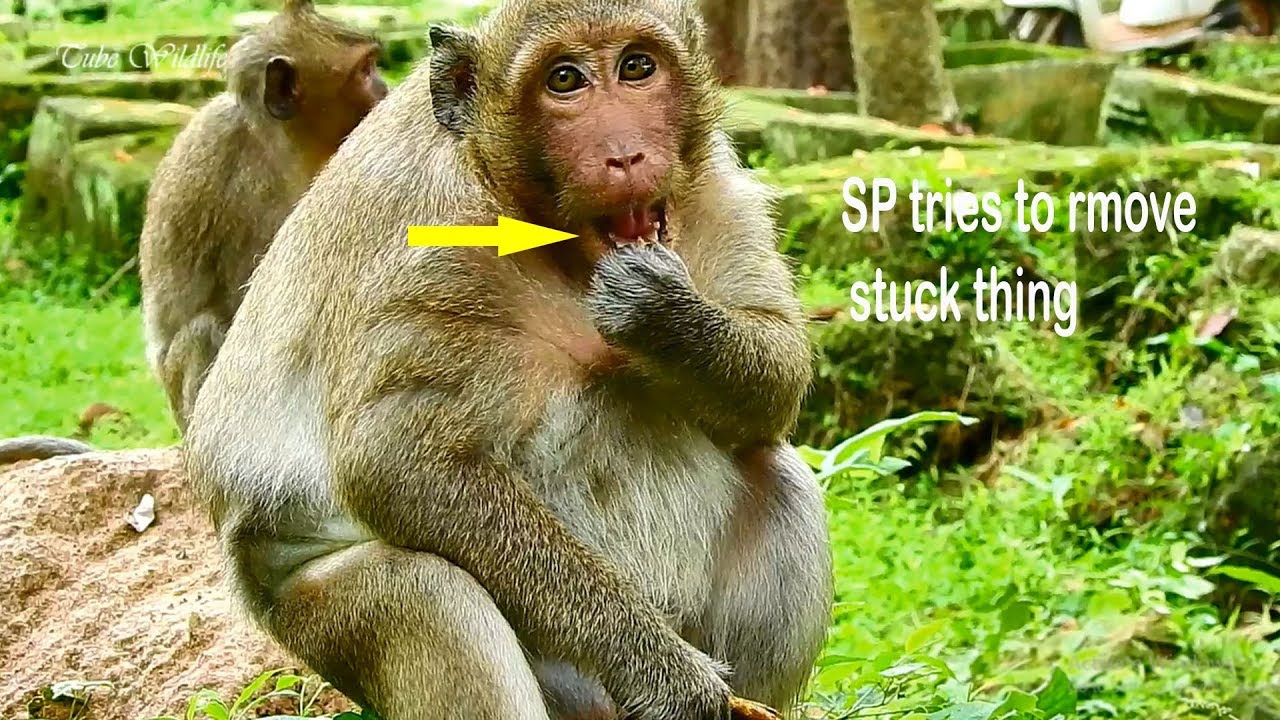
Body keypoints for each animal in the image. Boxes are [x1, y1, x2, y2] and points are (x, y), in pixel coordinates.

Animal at [138, 0, 388, 436]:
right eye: (364, 71)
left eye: (373, 65)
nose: (386, 89)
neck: (280, 145)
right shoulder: (235, 181)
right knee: (204, 333)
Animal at [184, 0, 833, 718]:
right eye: (564, 80)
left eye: (637, 66)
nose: (625, 154)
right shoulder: (433, 237)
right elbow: (400, 462)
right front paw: (667, 678)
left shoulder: (713, 180)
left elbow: (777, 373)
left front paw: (662, 313)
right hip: (324, 619)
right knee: (426, 592)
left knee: (780, 476)